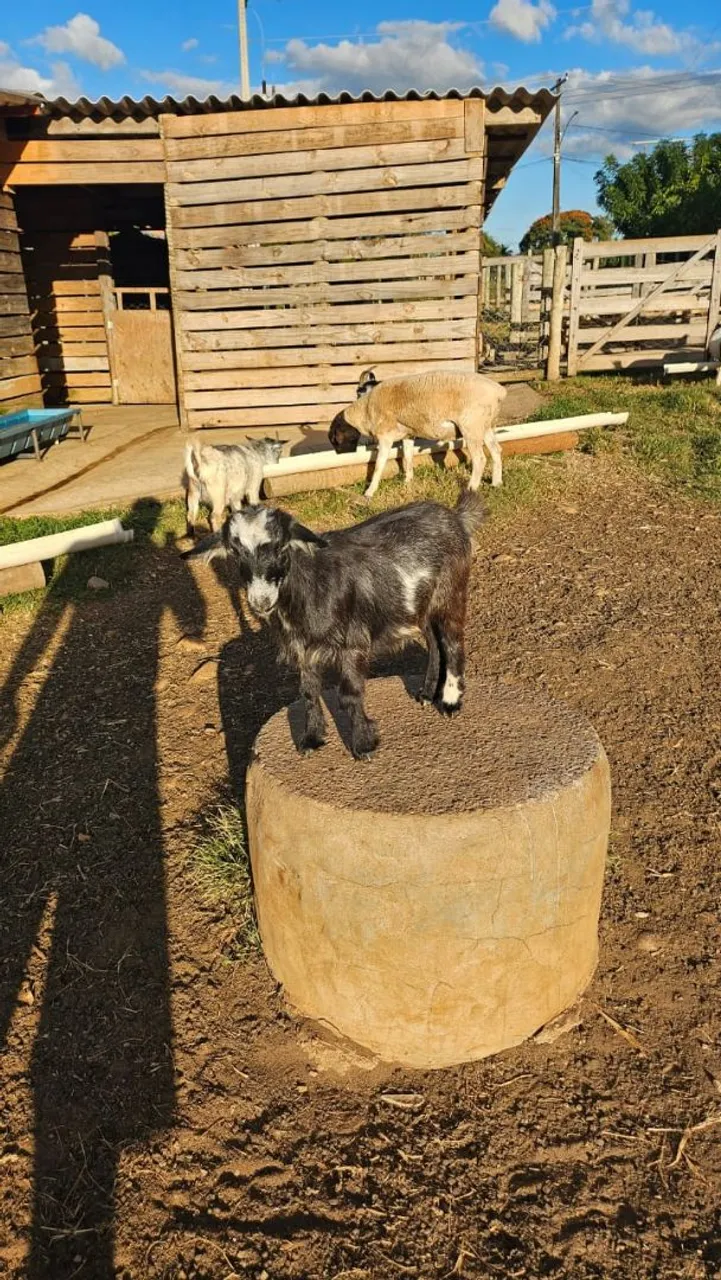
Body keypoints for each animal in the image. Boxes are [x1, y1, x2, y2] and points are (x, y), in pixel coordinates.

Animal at [182, 488, 484, 760]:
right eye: (235, 552)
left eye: (280, 547)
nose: (261, 601)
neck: (310, 586)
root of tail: (456, 517)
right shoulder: (302, 649)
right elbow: (309, 692)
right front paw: (312, 739)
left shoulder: (352, 643)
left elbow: (349, 694)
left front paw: (363, 745)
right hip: (421, 606)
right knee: (434, 643)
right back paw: (427, 693)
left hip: (450, 594)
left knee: (453, 643)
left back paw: (449, 702)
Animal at [328, 368, 507, 499]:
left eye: (335, 439)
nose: (339, 454)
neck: (365, 410)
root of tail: (499, 391)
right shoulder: (408, 435)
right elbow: (407, 459)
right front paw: (407, 482)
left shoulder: (385, 437)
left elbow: (379, 465)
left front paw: (369, 493)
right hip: (486, 426)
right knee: (496, 450)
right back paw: (496, 483)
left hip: (471, 426)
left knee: (480, 459)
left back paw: (471, 488)